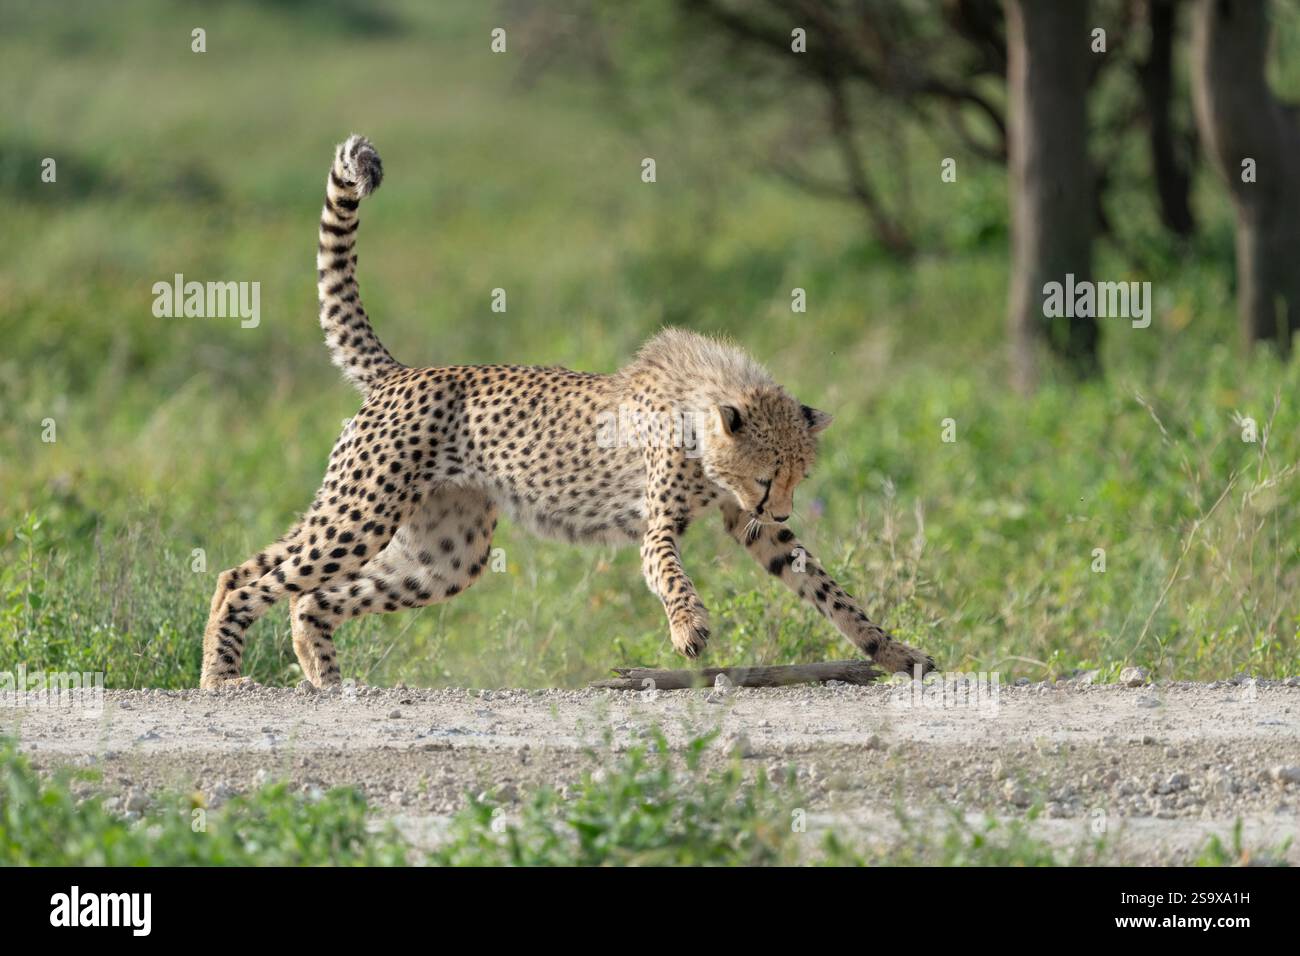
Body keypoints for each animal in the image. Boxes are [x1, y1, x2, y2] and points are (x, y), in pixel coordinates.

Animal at [198, 135, 936, 689]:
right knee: (244, 575)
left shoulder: (752, 528)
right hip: (361, 511)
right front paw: (690, 630)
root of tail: (405, 372)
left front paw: (895, 652)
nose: (779, 510)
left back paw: (322, 673)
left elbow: (827, 587)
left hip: (444, 553)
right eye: (766, 478)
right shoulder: (659, 522)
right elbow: (669, 572)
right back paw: (222, 677)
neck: (704, 409)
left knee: (312, 594)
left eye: (796, 481)